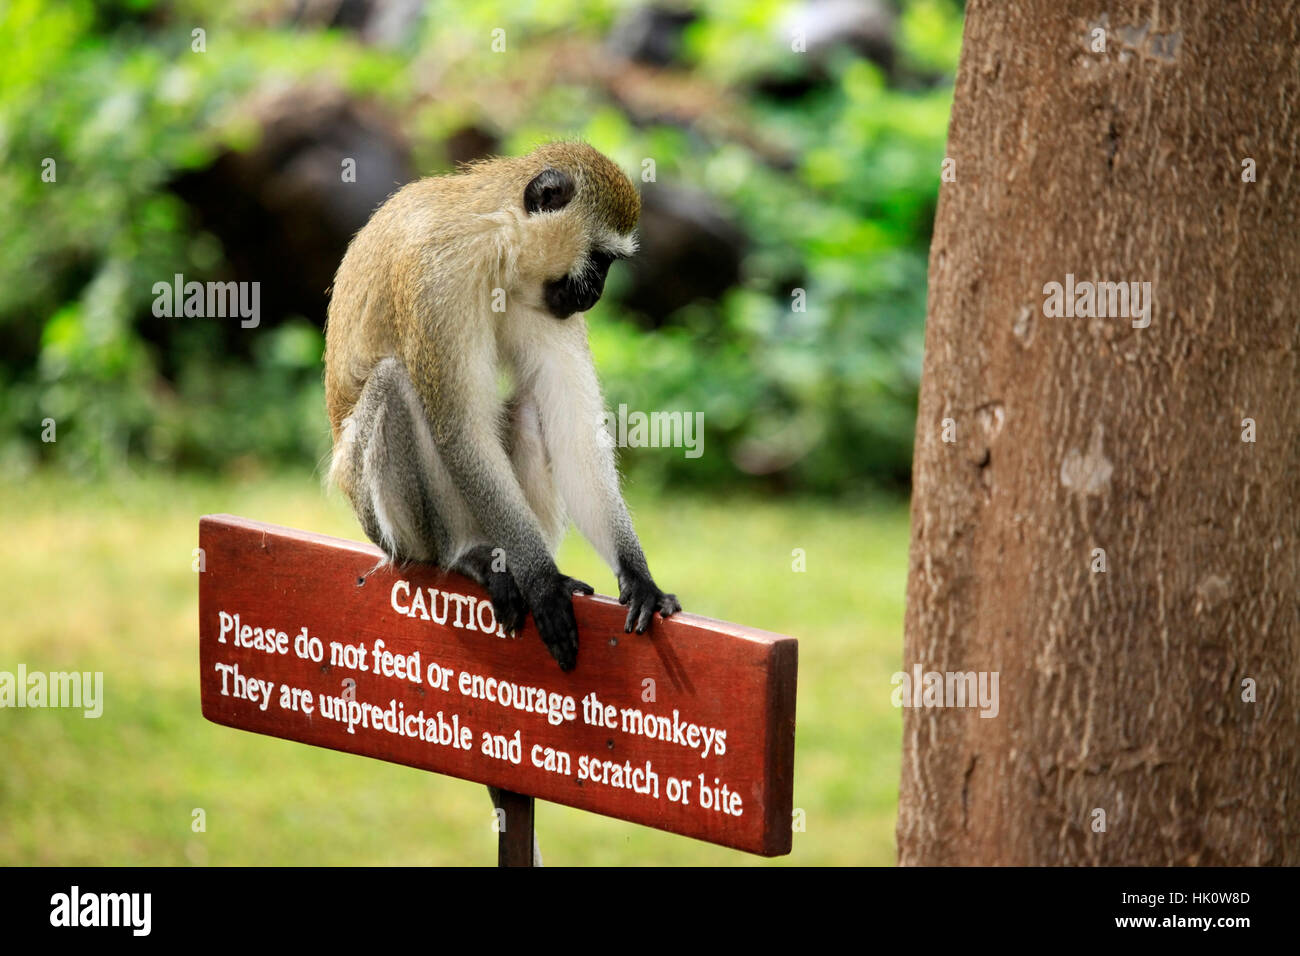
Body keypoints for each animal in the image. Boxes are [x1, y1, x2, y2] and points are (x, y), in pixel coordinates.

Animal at [323, 141, 681, 675]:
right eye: (599, 258)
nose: (595, 294)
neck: (496, 240)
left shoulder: (545, 300)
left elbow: (574, 436)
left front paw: (638, 577)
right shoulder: (437, 279)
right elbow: (460, 431)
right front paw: (543, 583)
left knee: (533, 409)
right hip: (386, 526)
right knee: (393, 385)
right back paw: (464, 557)